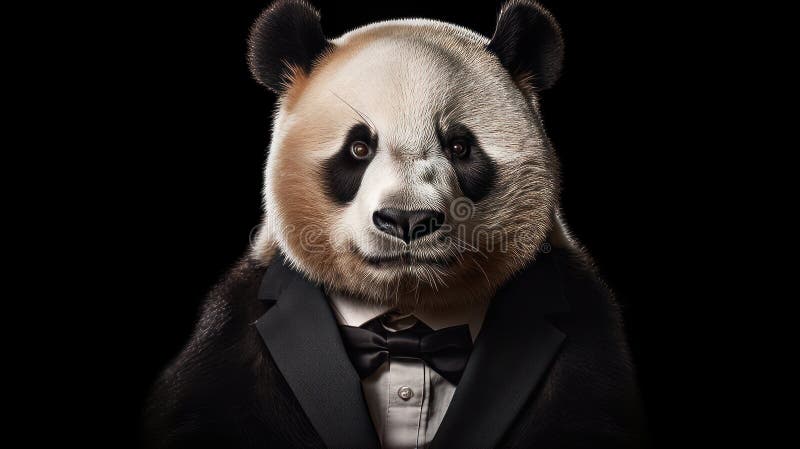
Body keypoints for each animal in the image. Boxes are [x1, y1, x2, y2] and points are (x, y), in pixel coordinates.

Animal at [143, 1, 648, 448]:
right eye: (359, 148)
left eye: (460, 147)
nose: (407, 219)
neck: (407, 313)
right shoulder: (237, 342)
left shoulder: (584, 339)